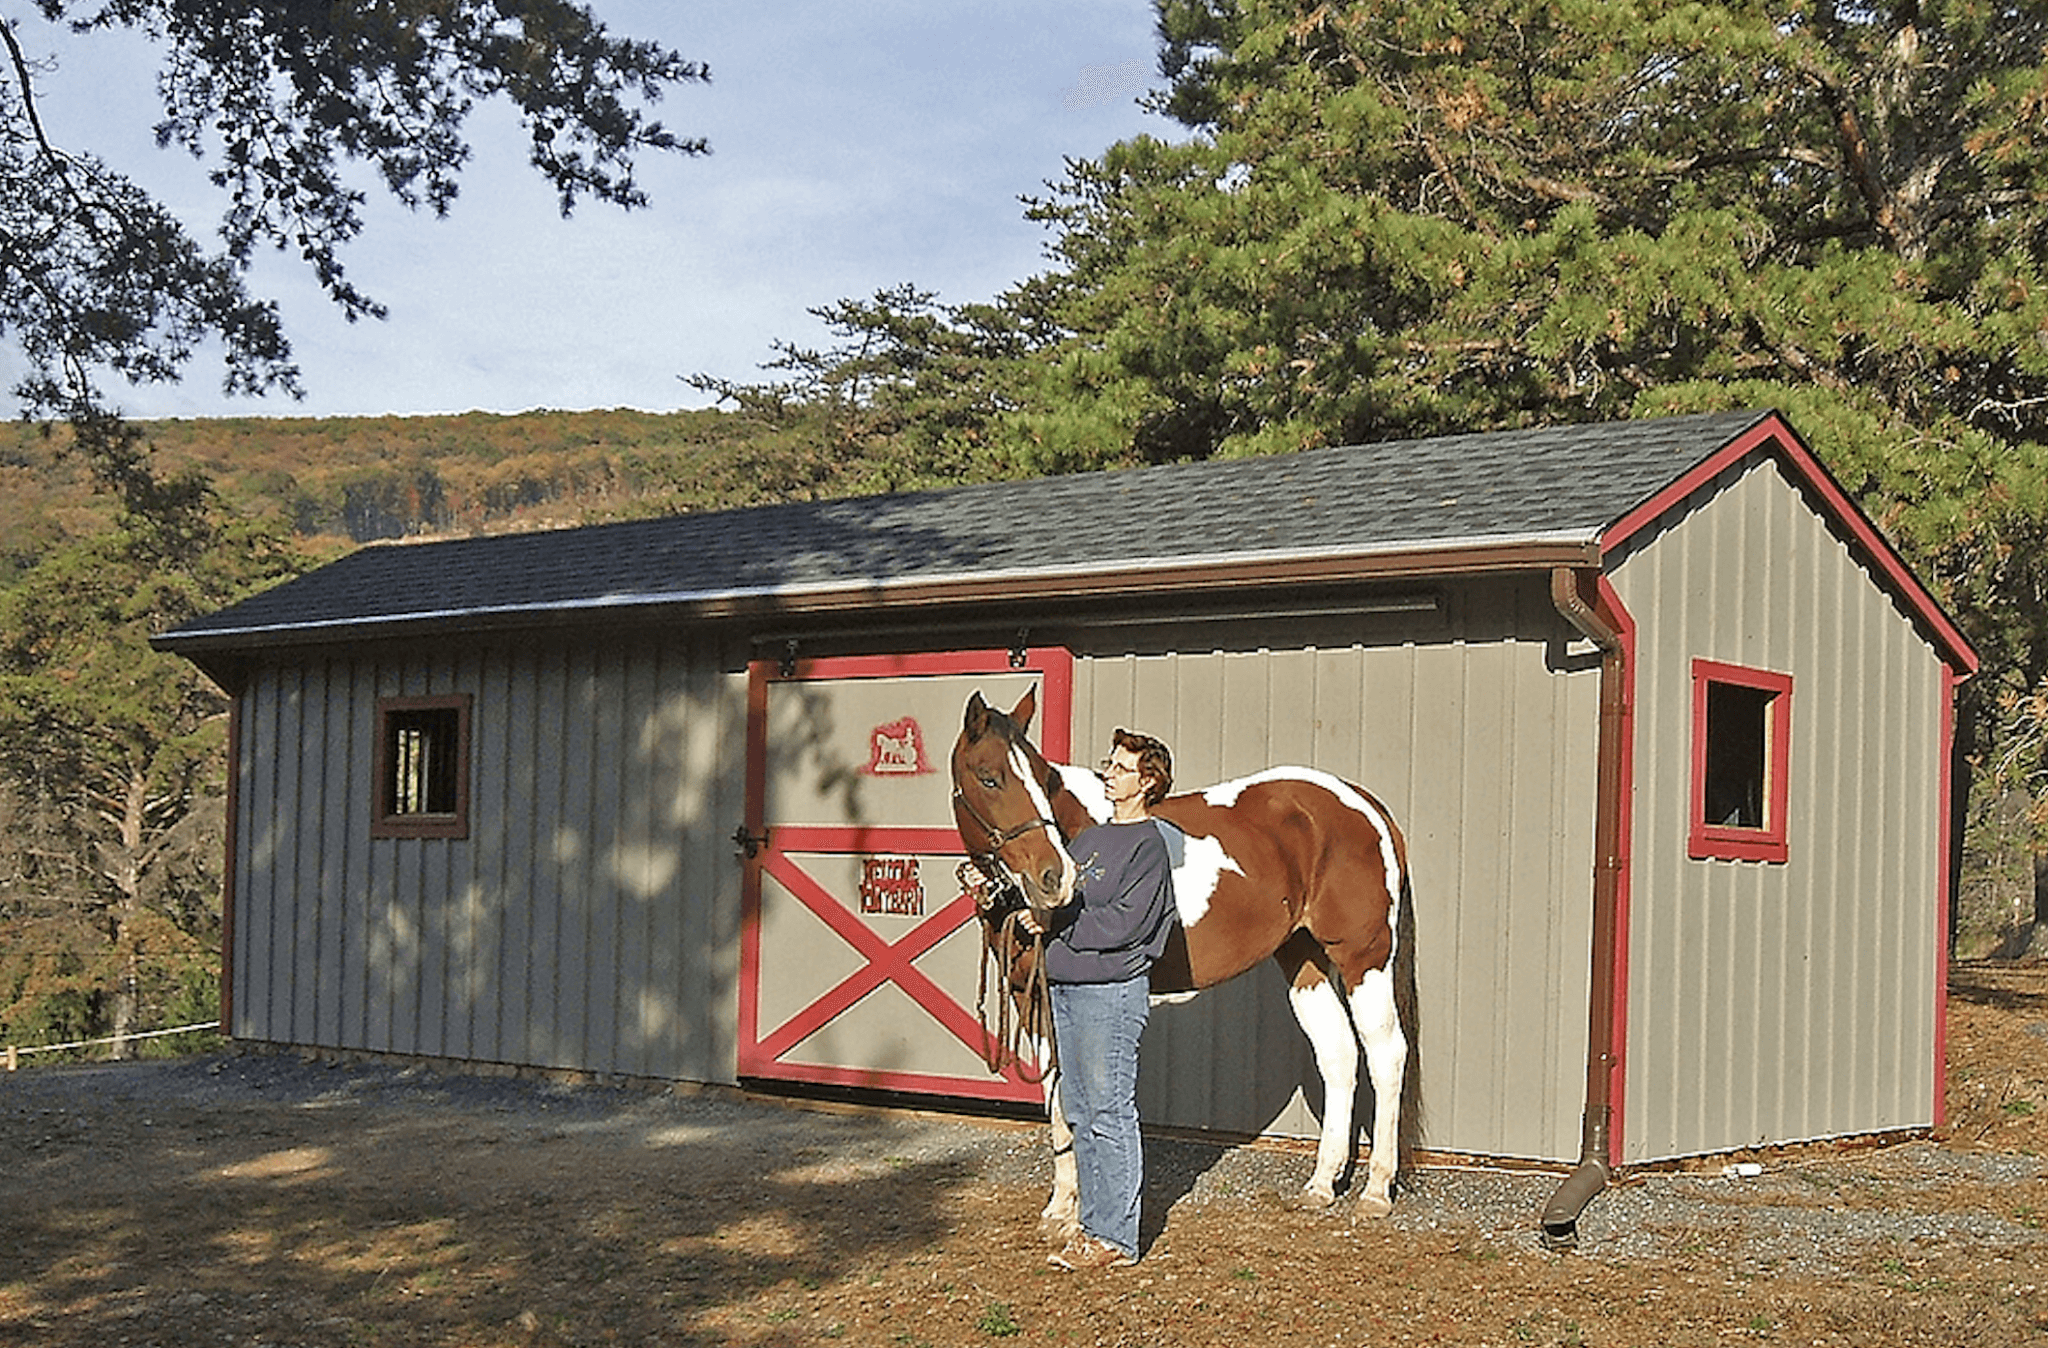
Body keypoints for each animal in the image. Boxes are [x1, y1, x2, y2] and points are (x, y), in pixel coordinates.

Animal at [950, 687, 1420, 1227]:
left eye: (1041, 779)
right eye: (989, 777)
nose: (1055, 877)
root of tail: (1363, 804)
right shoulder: (1032, 998)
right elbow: (1058, 1096)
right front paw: (1062, 1205)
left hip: (1364, 956)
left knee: (1386, 1054)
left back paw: (1377, 1188)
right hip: (1305, 962)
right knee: (1338, 1054)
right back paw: (1322, 1184)